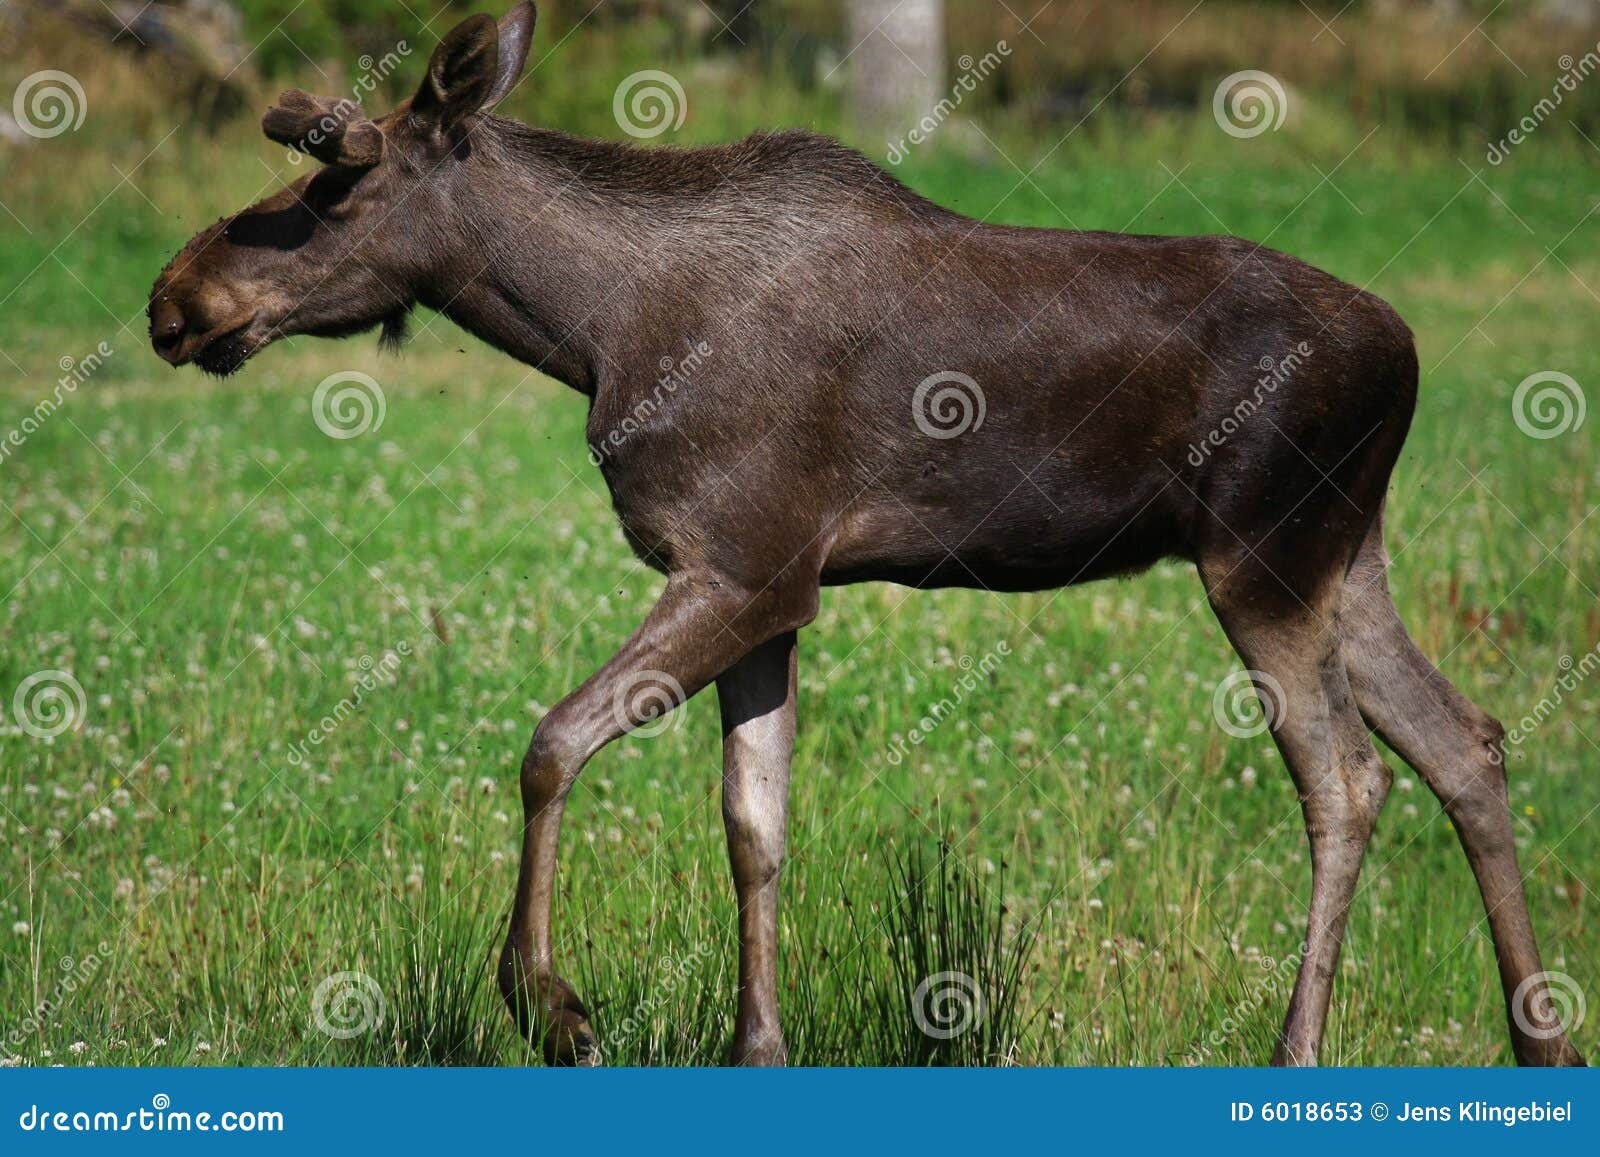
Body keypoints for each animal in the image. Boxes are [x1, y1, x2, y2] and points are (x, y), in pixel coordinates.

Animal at [148, 2, 1585, 1068]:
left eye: (338, 182)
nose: (176, 296)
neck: (591, 329)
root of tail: (1406, 351)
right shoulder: (772, 591)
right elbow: (754, 824)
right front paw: (757, 1044)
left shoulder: (740, 560)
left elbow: (551, 743)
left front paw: (549, 1001)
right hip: (1346, 553)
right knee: (1465, 740)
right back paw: (1540, 1036)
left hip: (1262, 559)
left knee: (1348, 779)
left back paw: (1301, 1046)